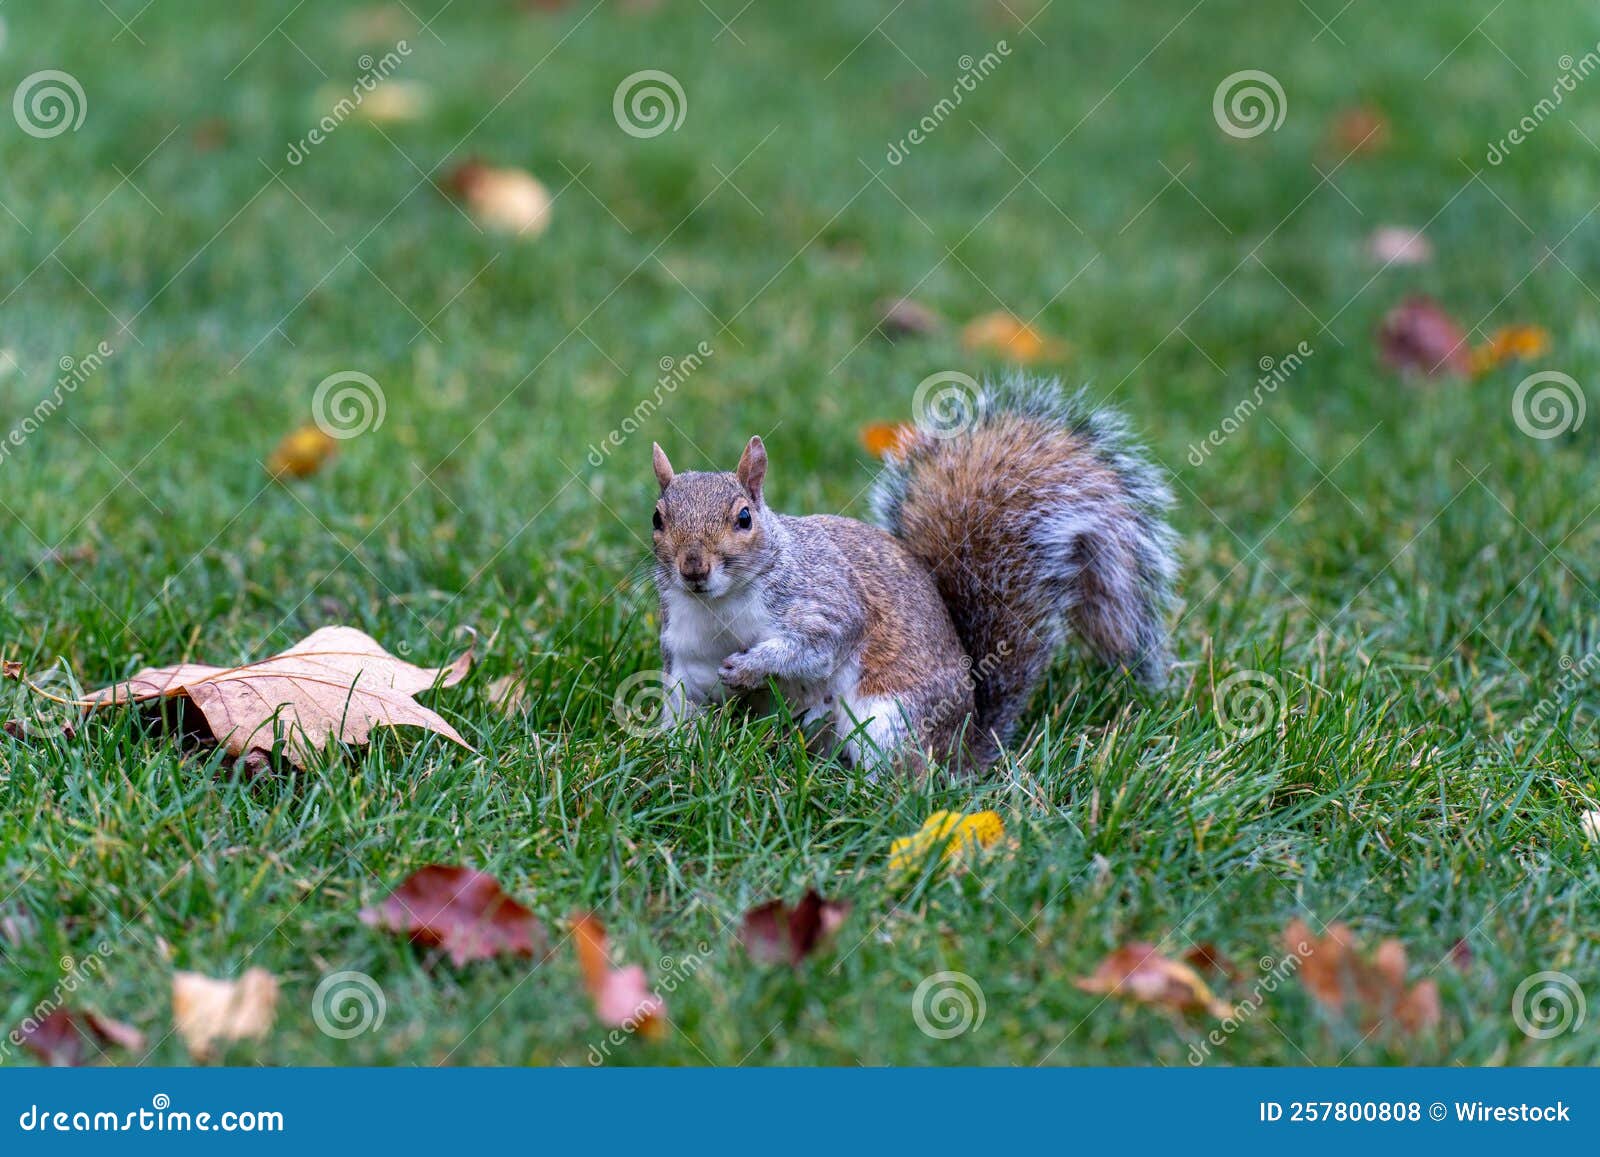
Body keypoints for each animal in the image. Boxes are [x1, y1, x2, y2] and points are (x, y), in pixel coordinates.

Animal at [647, 376, 1177, 774]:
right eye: (656, 518)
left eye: (744, 518)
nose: (693, 568)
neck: (721, 604)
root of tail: (963, 748)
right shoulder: (685, 650)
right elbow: (686, 698)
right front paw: (675, 751)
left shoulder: (826, 601)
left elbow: (816, 645)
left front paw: (751, 666)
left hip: (889, 717)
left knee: (907, 778)